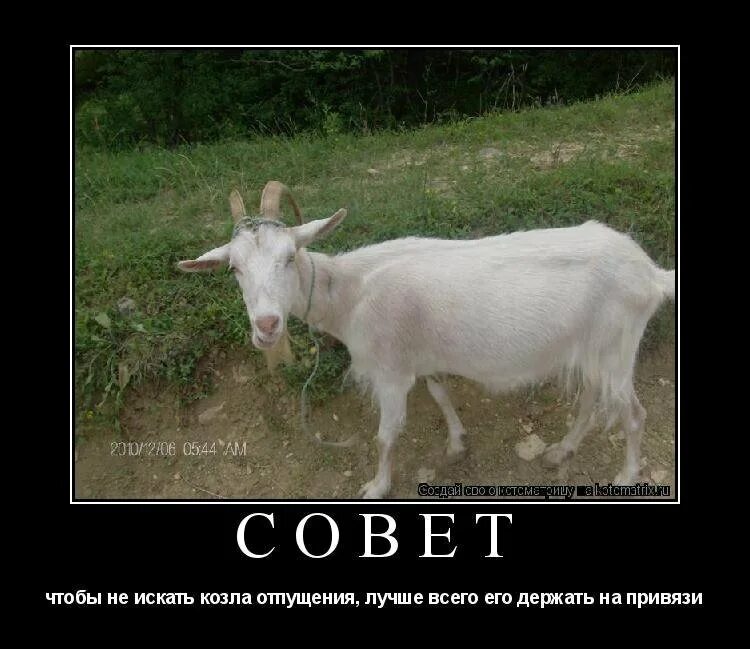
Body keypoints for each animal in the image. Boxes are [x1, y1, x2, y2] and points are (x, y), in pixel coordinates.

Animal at [178, 181, 676, 498]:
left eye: (288, 256)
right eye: (234, 268)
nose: (266, 327)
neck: (352, 293)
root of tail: (652, 273)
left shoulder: (390, 372)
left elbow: (385, 436)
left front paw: (376, 487)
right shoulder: (421, 356)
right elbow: (439, 391)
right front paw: (456, 443)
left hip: (617, 345)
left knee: (633, 414)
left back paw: (625, 477)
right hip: (592, 347)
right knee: (592, 397)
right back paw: (562, 451)